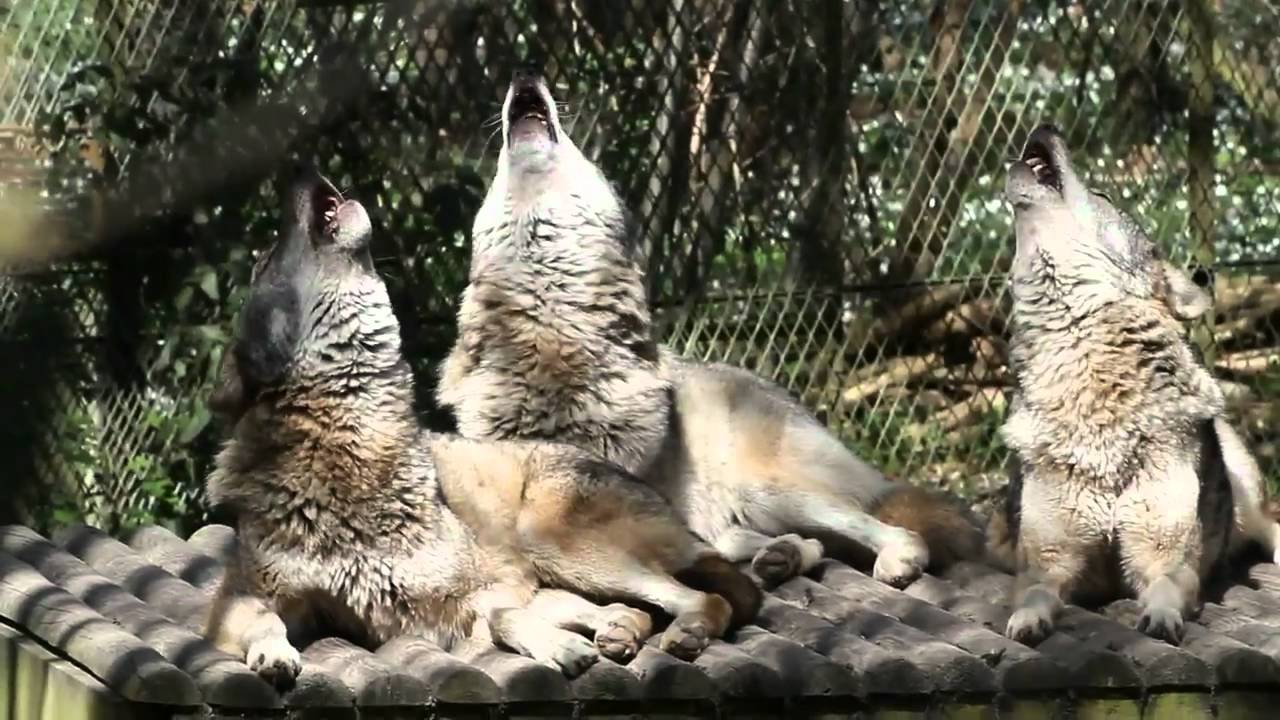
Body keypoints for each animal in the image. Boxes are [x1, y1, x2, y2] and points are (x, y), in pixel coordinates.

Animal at [203, 171, 761, 686]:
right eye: (264, 261)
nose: (301, 172)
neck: (349, 446)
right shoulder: (246, 601)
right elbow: (264, 622)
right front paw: (273, 654)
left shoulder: (485, 593)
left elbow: (504, 616)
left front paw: (558, 647)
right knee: (632, 609)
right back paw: (621, 632)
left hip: (555, 543)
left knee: (705, 598)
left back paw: (681, 631)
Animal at [436, 68, 985, 590]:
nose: (525, 74)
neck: (554, 347)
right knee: (785, 544)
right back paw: (782, 558)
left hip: (773, 490)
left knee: (887, 530)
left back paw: (893, 558)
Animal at [995, 124, 1280, 646]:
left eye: (1104, 194)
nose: (1047, 125)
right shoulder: (1047, 564)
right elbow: (1034, 594)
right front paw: (1027, 621)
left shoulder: (1167, 561)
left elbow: (1166, 590)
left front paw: (1161, 617)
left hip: (1245, 487)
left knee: (1270, 526)